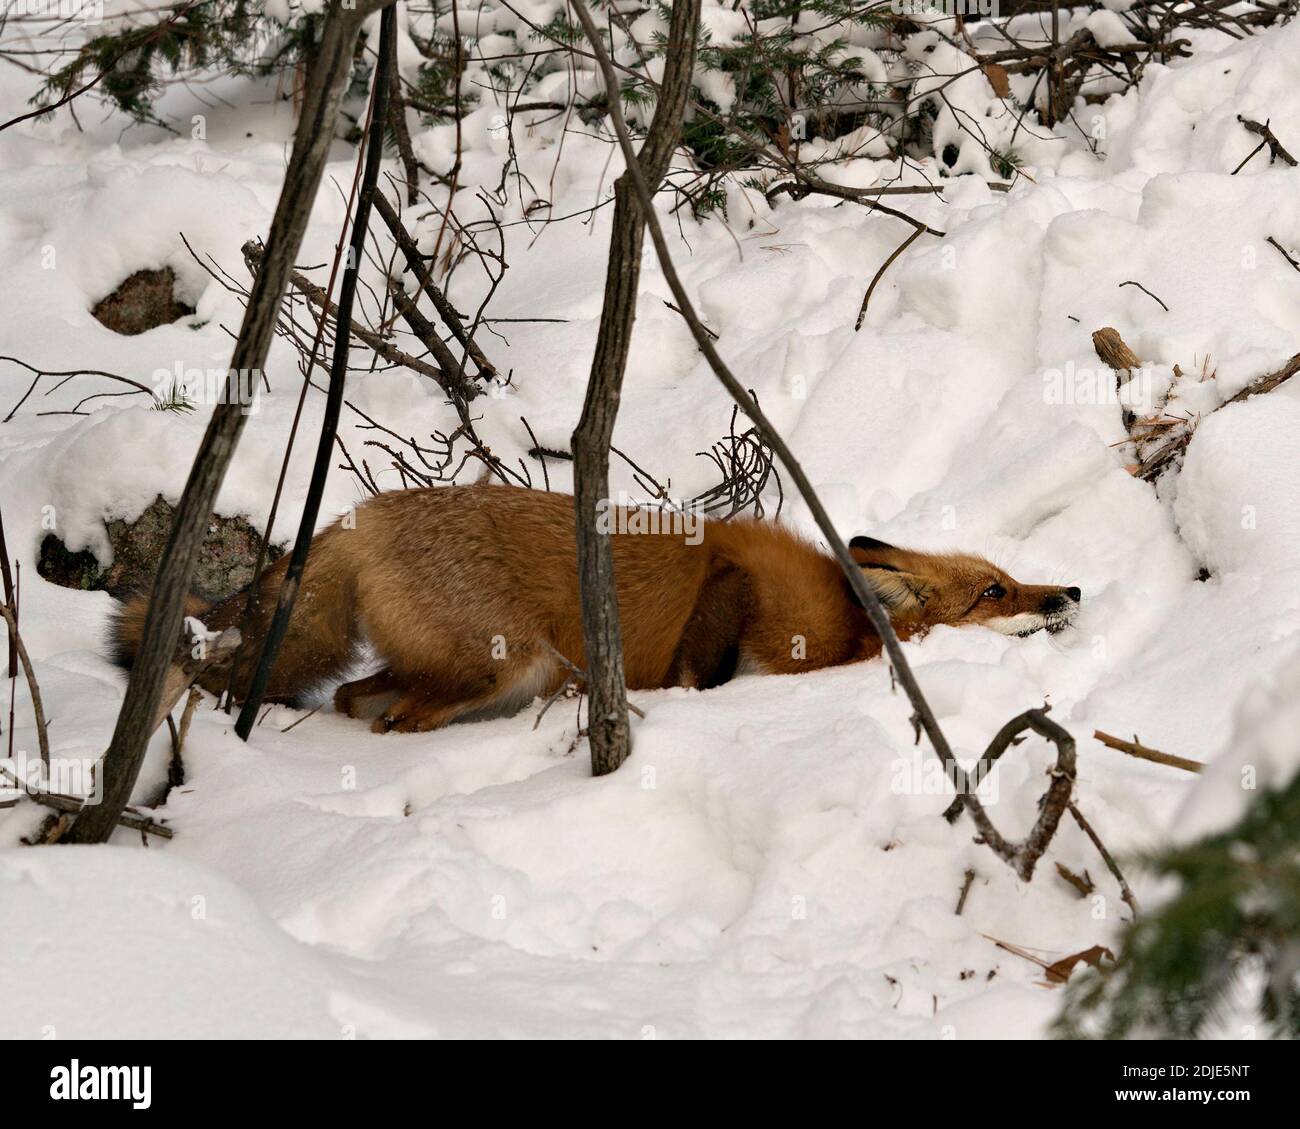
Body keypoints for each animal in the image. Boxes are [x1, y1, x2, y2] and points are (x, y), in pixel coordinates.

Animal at [109, 484, 1080, 733]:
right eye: (995, 590)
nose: (1072, 589)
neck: (843, 621)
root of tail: (365, 512)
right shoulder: (740, 578)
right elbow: (704, 662)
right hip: (508, 663)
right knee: (390, 717)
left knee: (354, 697)